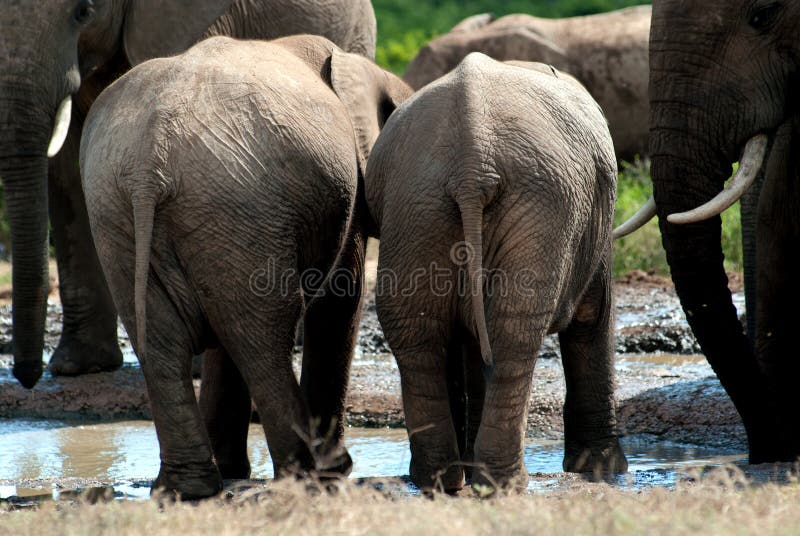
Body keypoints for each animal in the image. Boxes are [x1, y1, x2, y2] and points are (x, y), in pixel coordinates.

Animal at [80, 34, 411, 499]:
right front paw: (334, 469)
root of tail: (150, 158)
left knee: (170, 344)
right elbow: (340, 299)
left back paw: (189, 487)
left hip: (125, 212)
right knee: (263, 341)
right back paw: (306, 474)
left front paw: (232, 467)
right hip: (238, 202)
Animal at [364, 53, 628, 492]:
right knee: (514, 331)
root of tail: (472, 161)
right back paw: (502, 482)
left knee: (417, 331)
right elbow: (593, 316)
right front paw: (603, 470)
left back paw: (440, 479)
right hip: (541, 202)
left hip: (417, 204)